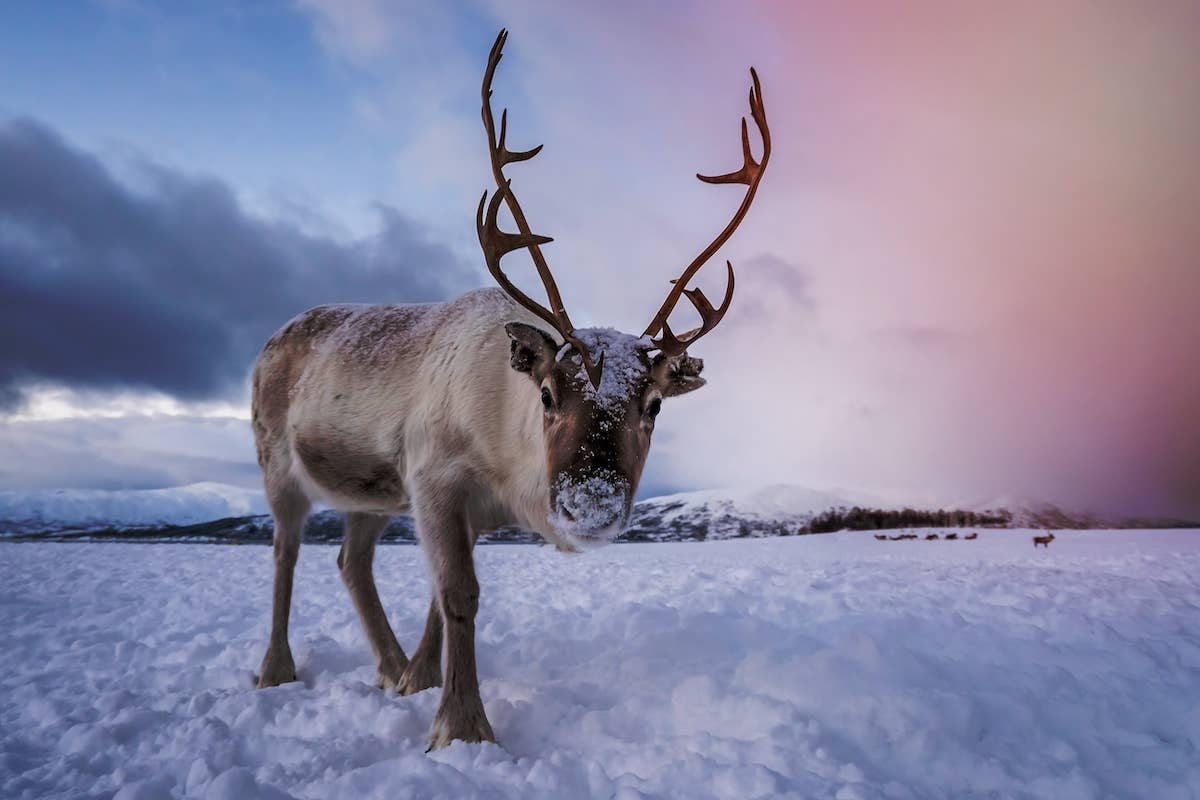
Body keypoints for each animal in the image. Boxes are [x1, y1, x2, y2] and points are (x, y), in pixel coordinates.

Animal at [249, 29, 771, 750]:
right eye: (547, 394)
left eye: (655, 404)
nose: (590, 505)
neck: (505, 463)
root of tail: (272, 341)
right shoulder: (434, 477)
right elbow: (458, 594)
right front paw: (461, 727)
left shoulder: (452, 504)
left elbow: (440, 599)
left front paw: (419, 681)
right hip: (278, 464)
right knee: (285, 552)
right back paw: (275, 670)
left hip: (369, 494)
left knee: (351, 562)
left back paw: (388, 667)